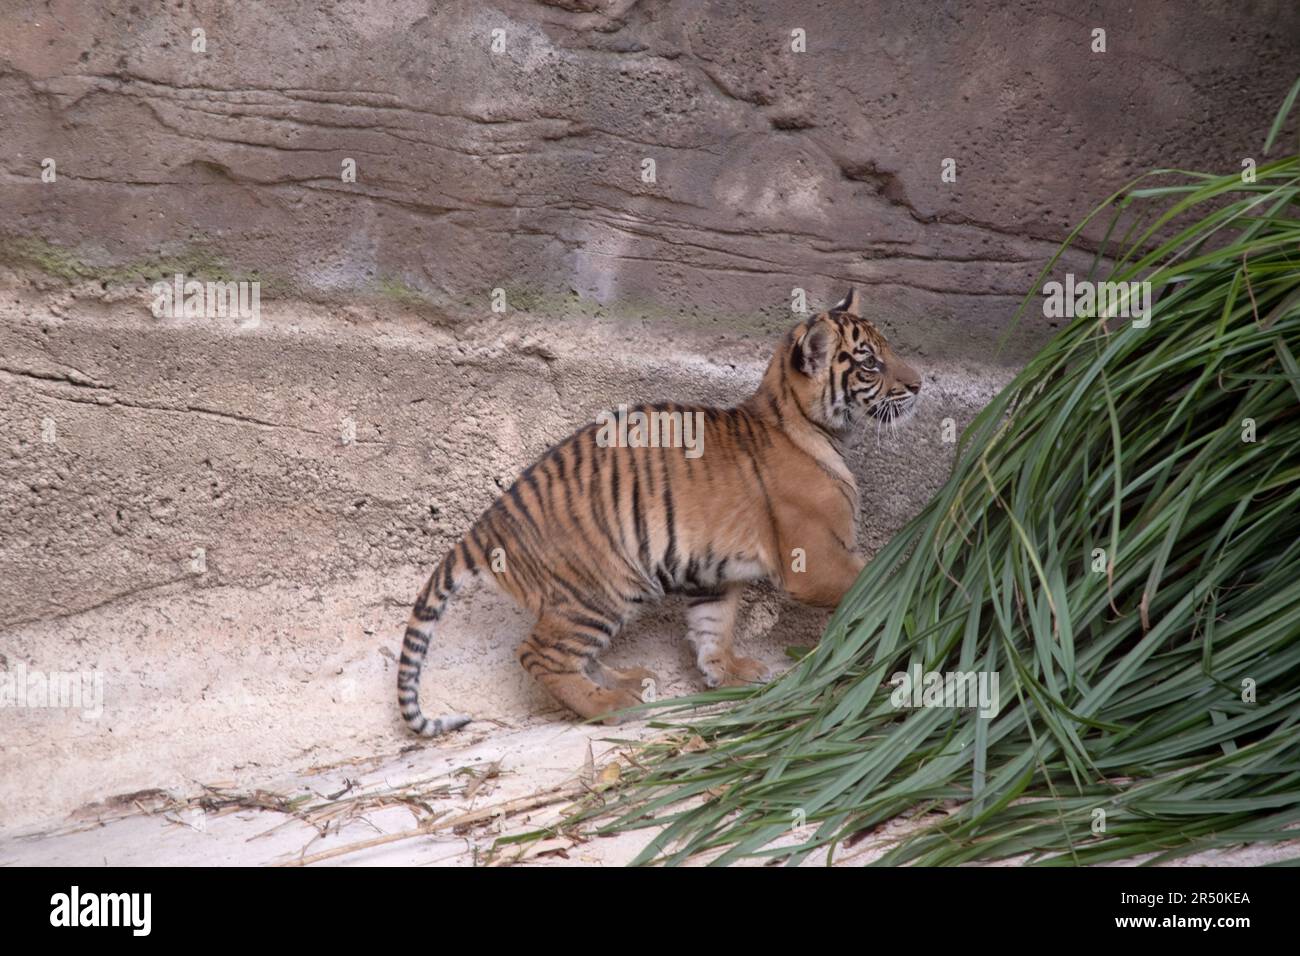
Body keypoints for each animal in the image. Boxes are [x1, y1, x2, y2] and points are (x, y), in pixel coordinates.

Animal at [397, 288, 923, 736]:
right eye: (870, 362)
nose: (919, 385)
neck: (810, 424)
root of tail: (490, 520)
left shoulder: (712, 574)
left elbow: (713, 627)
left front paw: (727, 675)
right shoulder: (814, 560)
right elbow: (871, 576)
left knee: (575, 654)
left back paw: (627, 681)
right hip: (601, 589)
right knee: (539, 653)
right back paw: (610, 706)